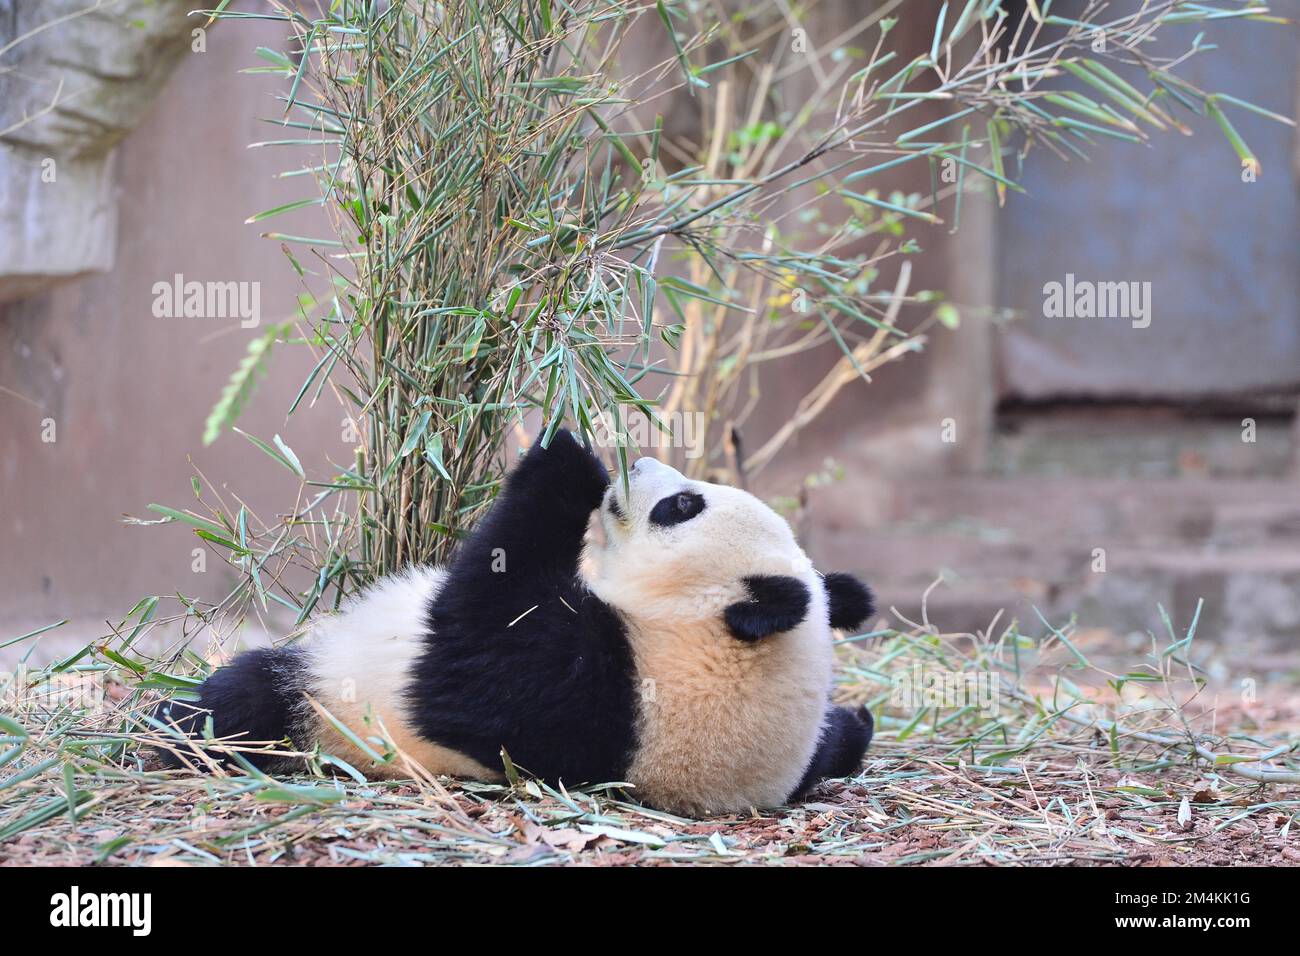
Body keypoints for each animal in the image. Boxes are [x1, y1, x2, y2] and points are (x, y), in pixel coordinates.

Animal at [155, 429, 876, 816]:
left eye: (682, 506)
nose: (638, 463)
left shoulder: (592, 690)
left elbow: (472, 651)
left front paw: (568, 457)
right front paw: (851, 727)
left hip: (322, 701)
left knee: (246, 700)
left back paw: (170, 729)